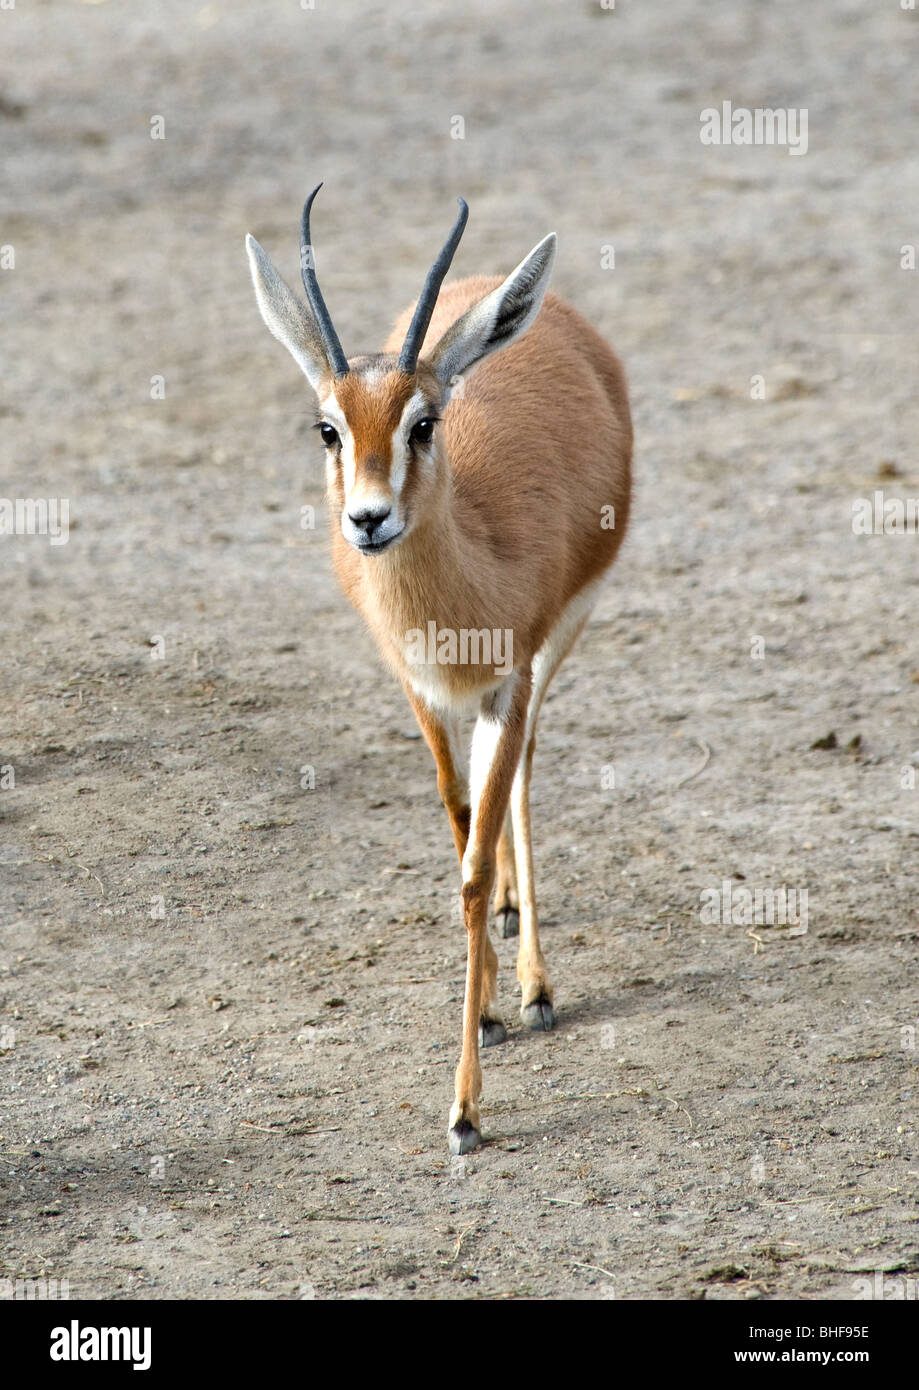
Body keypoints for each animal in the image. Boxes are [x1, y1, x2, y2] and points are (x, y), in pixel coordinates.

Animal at [246, 187, 632, 1153]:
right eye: (328, 427)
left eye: (422, 422)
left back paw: (534, 983)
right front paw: (483, 1011)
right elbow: (461, 831)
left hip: (558, 649)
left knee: (523, 777)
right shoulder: (419, 691)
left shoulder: (510, 680)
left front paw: (464, 1107)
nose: (368, 520)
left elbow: (473, 864)